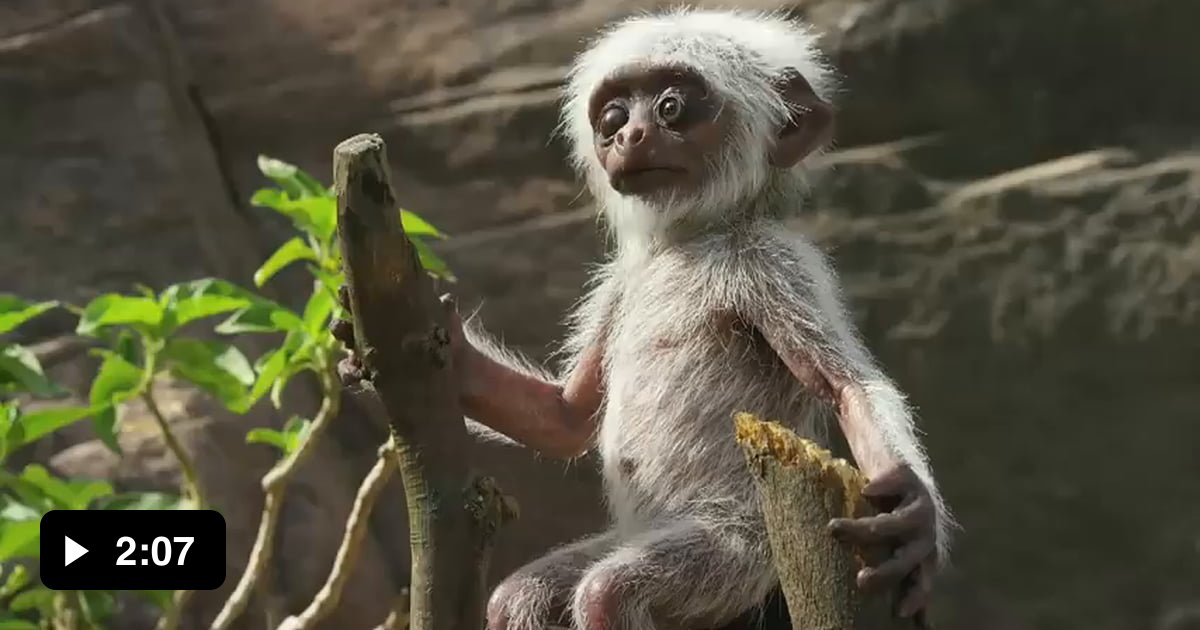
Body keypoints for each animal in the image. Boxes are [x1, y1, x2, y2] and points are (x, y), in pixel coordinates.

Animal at [334, 8, 952, 630]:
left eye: (672, 108)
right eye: (611, 117)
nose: (629, 135)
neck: (687, 244)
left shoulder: (773, 263)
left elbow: (848, 385)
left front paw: (913, 513)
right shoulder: (619, 284)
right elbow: (566, 415)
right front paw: (437, 353)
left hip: (742, 554)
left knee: (609, 590)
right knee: (522, 595)